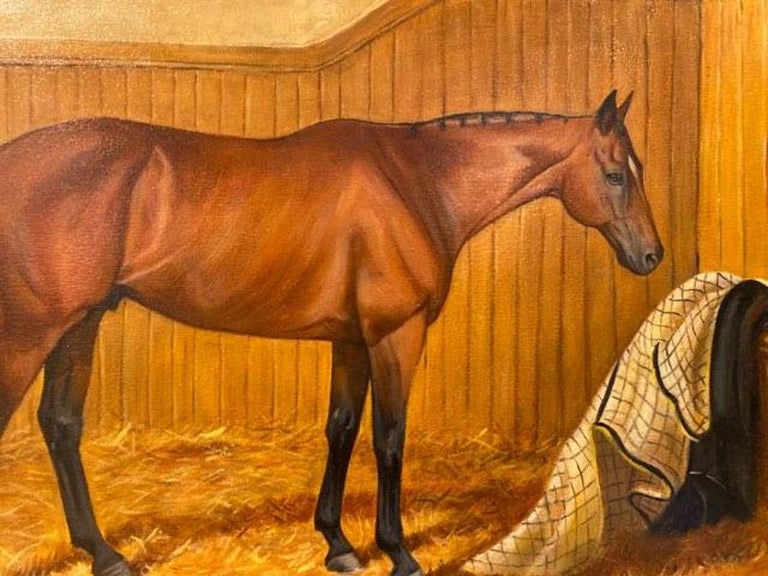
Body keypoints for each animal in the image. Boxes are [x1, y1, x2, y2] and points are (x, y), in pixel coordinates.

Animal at [0, 90, 661, 576]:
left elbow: (341, 429)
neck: (416, 182)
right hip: (31, 335)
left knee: (61, 425)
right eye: (614, 175)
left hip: (79, 325)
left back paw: (105, 555)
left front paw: (338, 543)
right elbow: (389, 437)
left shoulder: (350, 340)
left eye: (637, 169)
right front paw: (398, 551)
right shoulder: (395, 334)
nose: (651, 255)